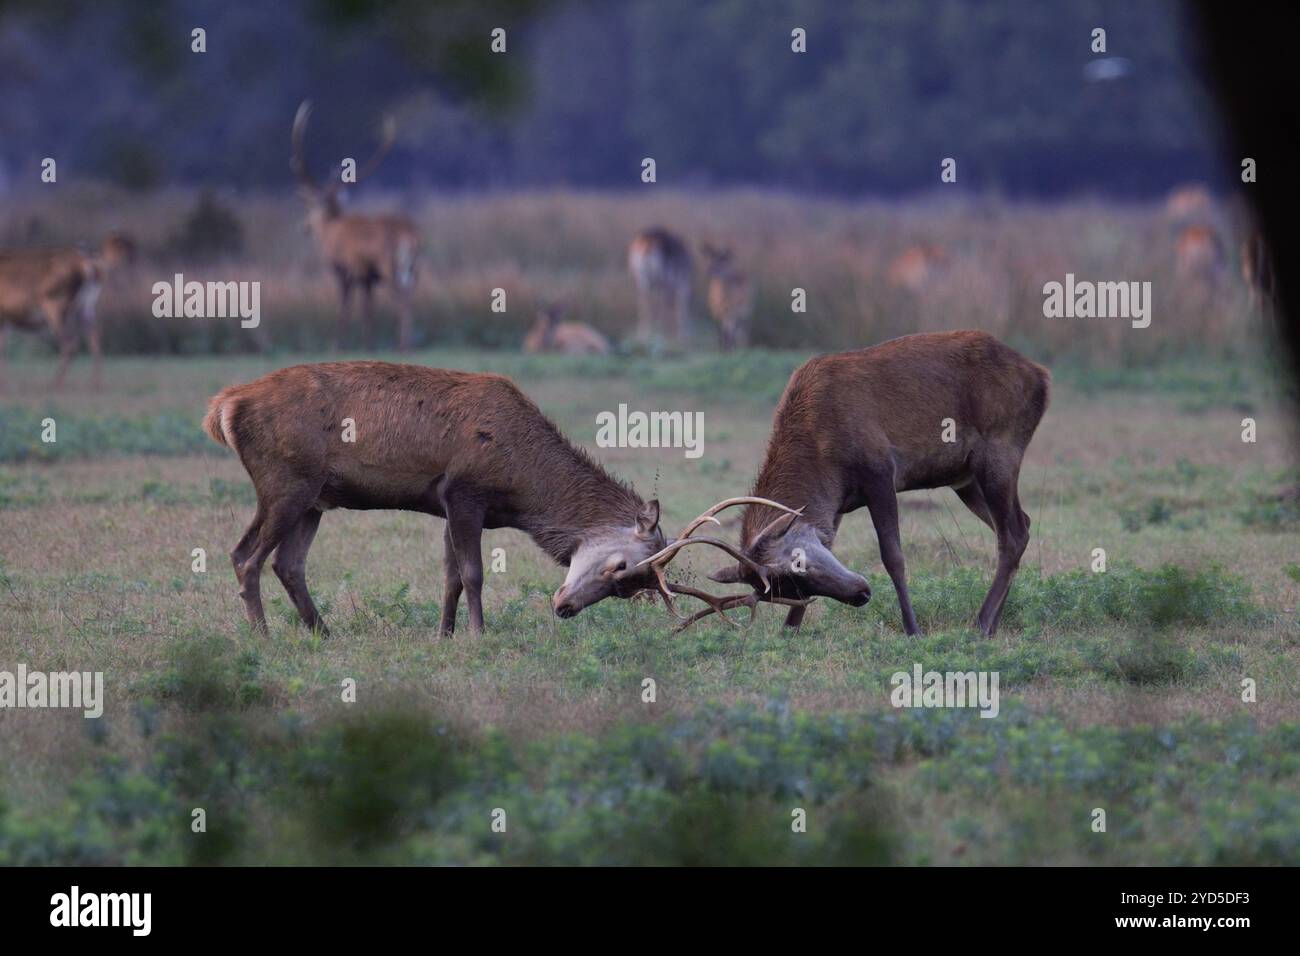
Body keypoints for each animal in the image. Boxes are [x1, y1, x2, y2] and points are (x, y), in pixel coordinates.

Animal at [0, 233, 136, 390]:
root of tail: (90, 263)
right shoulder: (5, 321)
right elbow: (3, 348)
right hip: (85, 307)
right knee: (94, 338)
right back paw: (96, 384)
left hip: (55, 303)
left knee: (70, 343)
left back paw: (55, 384)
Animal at [202, 360, 787, 637]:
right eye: (622, 568)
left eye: (627, 588)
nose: (565, 607)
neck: (521, 490)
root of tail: (224, 407)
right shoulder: (464, 491)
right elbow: (474, 573)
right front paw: (480, 634)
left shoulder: (446, 504)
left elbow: (449, 576)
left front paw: (443, 635)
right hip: (285, 482)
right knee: (245, 555)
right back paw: (264, 636)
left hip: (315, 497)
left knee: (288, 563)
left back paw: (324, 633)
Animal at [291, 100, 421, 352]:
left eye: (310, 207)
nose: (304, 227)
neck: (330, 231)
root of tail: (408, 236)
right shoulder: (367, 277)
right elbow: (367, 308)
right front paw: (367, 344)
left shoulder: (350, 270)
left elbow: (349, 308)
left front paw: (342, 345)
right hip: (412, 267)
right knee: (410, 294)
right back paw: (406, 344)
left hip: (388, 264)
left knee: (400, 297)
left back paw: (402, 345)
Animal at [638, 331, 1051, 638]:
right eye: (792, 590)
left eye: (798, 564)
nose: (861, 594)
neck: (821, 452)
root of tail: (1041, 377)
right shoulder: (834, 505)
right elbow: (833, 539)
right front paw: (789, 632)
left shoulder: (881, 471)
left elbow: (893, 556)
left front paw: (913, 630)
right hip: (964, 478)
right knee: (1022, 525)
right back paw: (993, 622)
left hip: (999, 451)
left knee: (1012, 532)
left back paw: (980, 624)